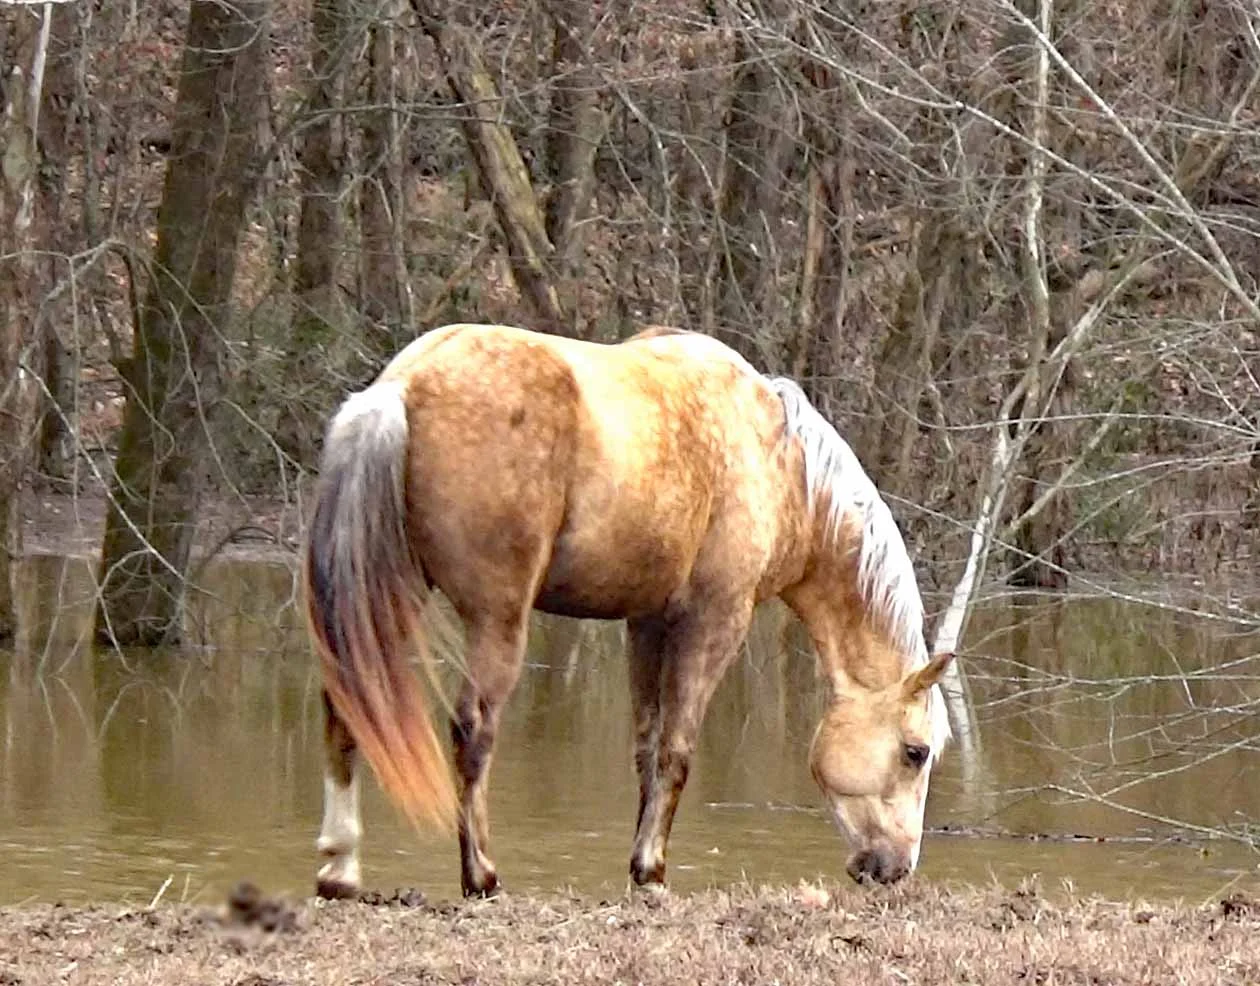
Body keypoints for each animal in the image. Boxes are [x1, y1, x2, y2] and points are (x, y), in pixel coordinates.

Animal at [302, 322, 953, 899]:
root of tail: (401, 386)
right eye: (915, 752)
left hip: (391, 598)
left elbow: (646, 745)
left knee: (347, 709)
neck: (781, 462)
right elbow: (677, 748)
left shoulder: (646, 623)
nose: (897, 867)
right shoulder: (714, 621)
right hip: (496, 621)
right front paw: (653, 869)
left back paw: (340, 869)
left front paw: (640, 862)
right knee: (473, 731)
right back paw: (480, 875)